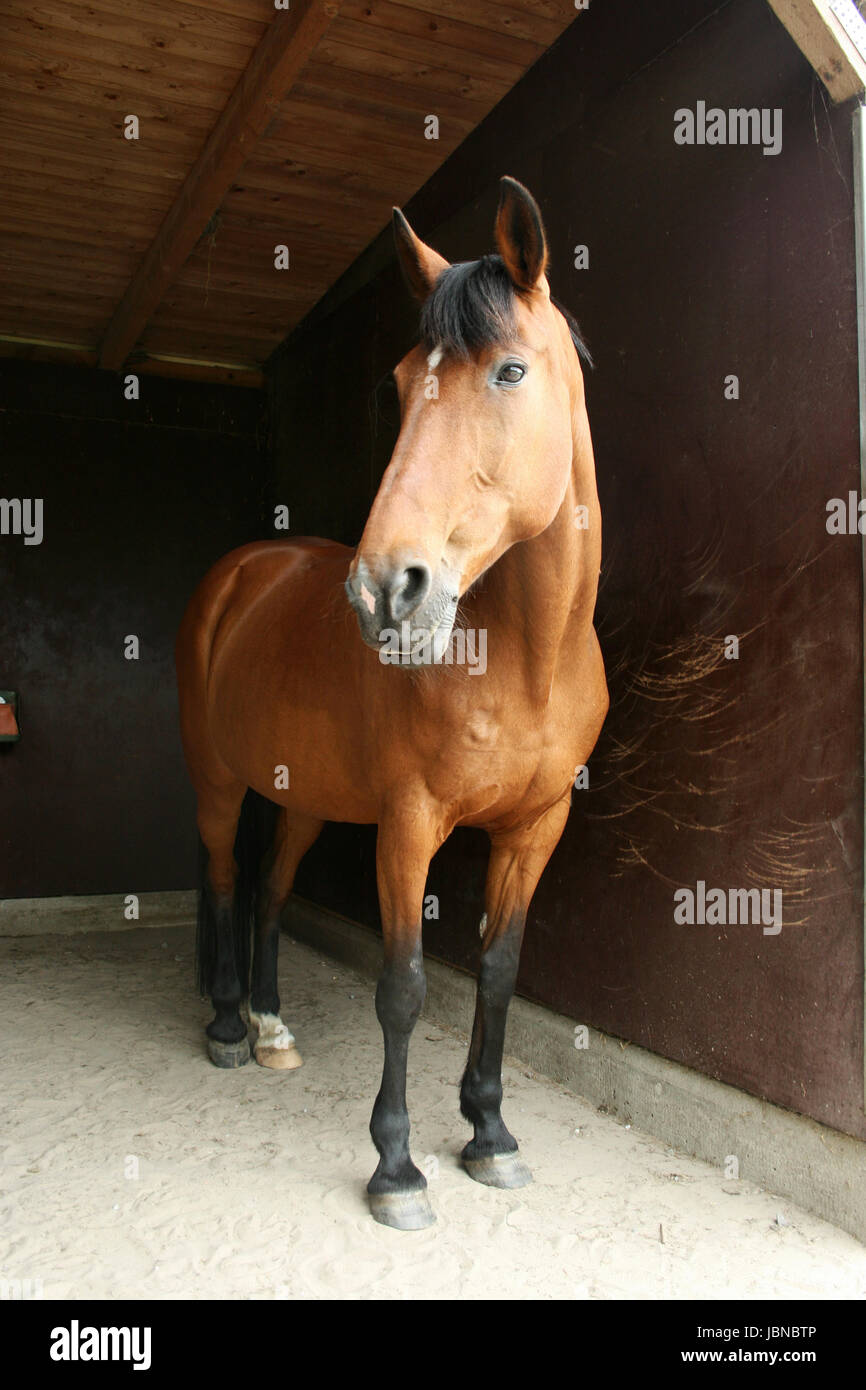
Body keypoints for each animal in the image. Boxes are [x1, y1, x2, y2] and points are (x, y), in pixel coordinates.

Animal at [175, 176, 608, 1230]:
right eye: (407, 384)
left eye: (509, 372)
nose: (385, 591)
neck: (529, 660)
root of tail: (241, 572)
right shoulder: (410, 824)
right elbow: (404, 986)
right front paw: (398, 1168)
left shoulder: (536, 828)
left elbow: (497, 970)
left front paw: (490, 1133)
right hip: (218, 781)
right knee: (222, 876)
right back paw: (224, 1023)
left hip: (299, 797)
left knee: (269, 888)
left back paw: (272, 1026)